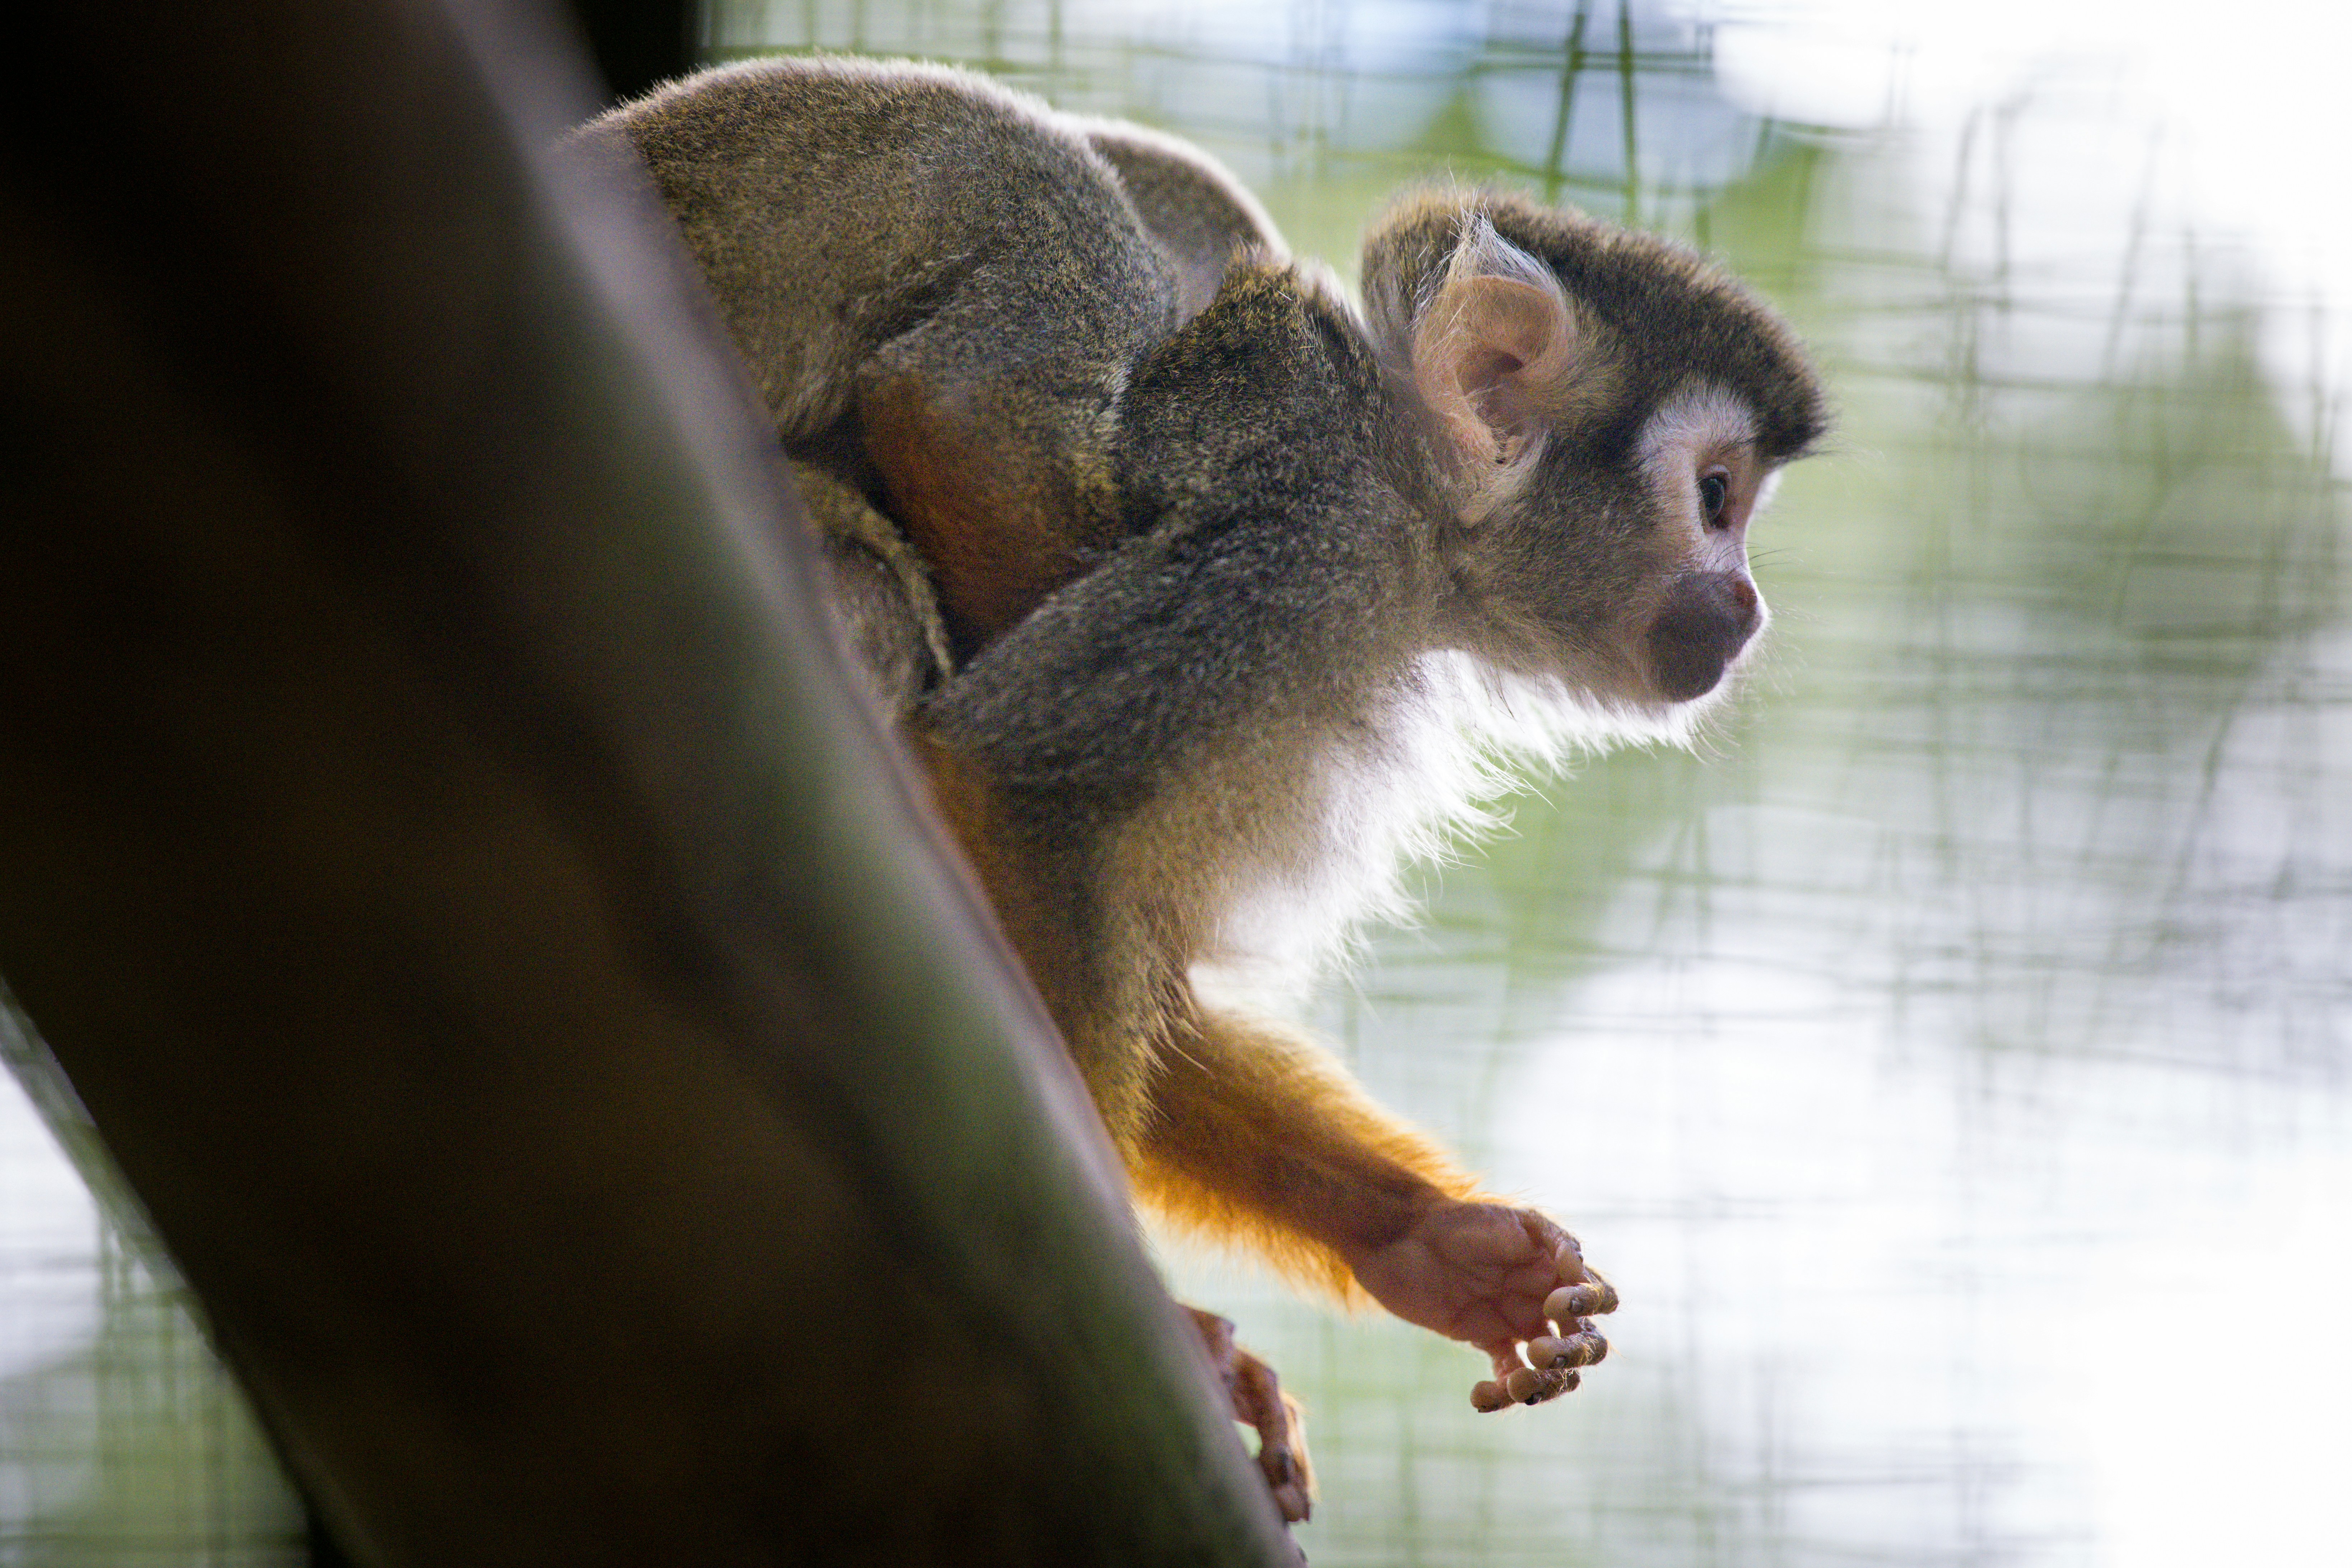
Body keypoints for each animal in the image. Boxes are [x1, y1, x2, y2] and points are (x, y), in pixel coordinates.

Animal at [573, 54, 1827, 1522]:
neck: (1407, 507)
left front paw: (1435, 1246)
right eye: (1713, 497)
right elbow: (1024, 780)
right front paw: (1161, 1309)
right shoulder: (1298, 554)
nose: (1744, 604)